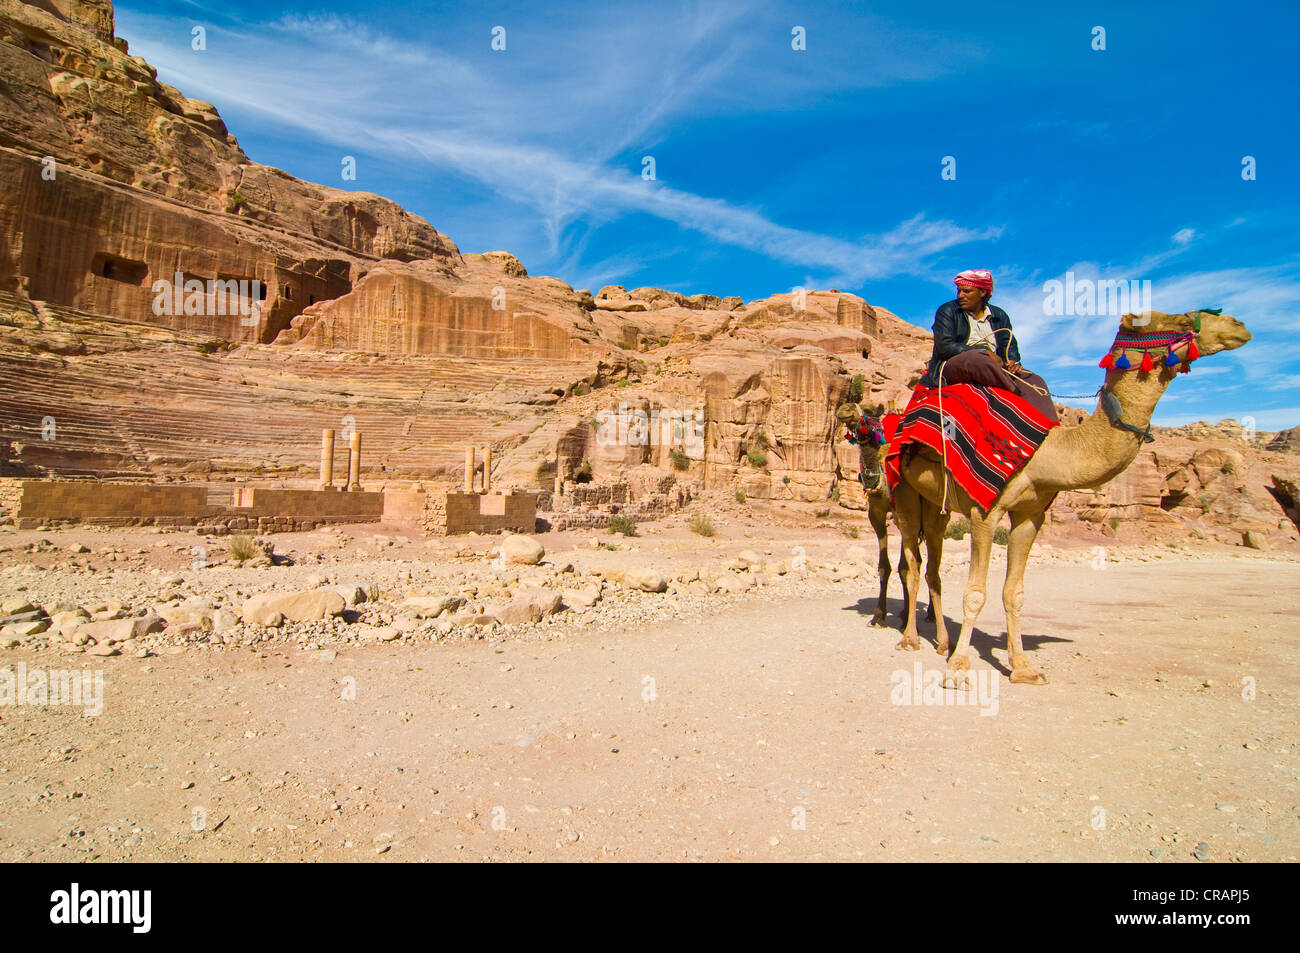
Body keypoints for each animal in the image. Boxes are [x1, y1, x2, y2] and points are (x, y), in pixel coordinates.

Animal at [833, 401, 947, 626]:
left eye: (869, 415)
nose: (845, 408)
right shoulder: (876, 513)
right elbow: (884, 566)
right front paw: (879, 615)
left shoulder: (900, 512)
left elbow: (905, 567)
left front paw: (904, 618)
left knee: (930, 559)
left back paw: (929, 612)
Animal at [890, 309, 1251, 687]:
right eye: (1180, 320)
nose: (1238, 325)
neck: (1044, 452)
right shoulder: (984, 510)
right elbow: (975, 593)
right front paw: (959, 669)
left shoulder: (1030, 515)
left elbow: (1014, 593)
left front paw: (1023, 668)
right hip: (905, 493)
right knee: (911, 566)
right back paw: (911, 639)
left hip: (936, 505)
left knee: (933, 568)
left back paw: (943, 642)